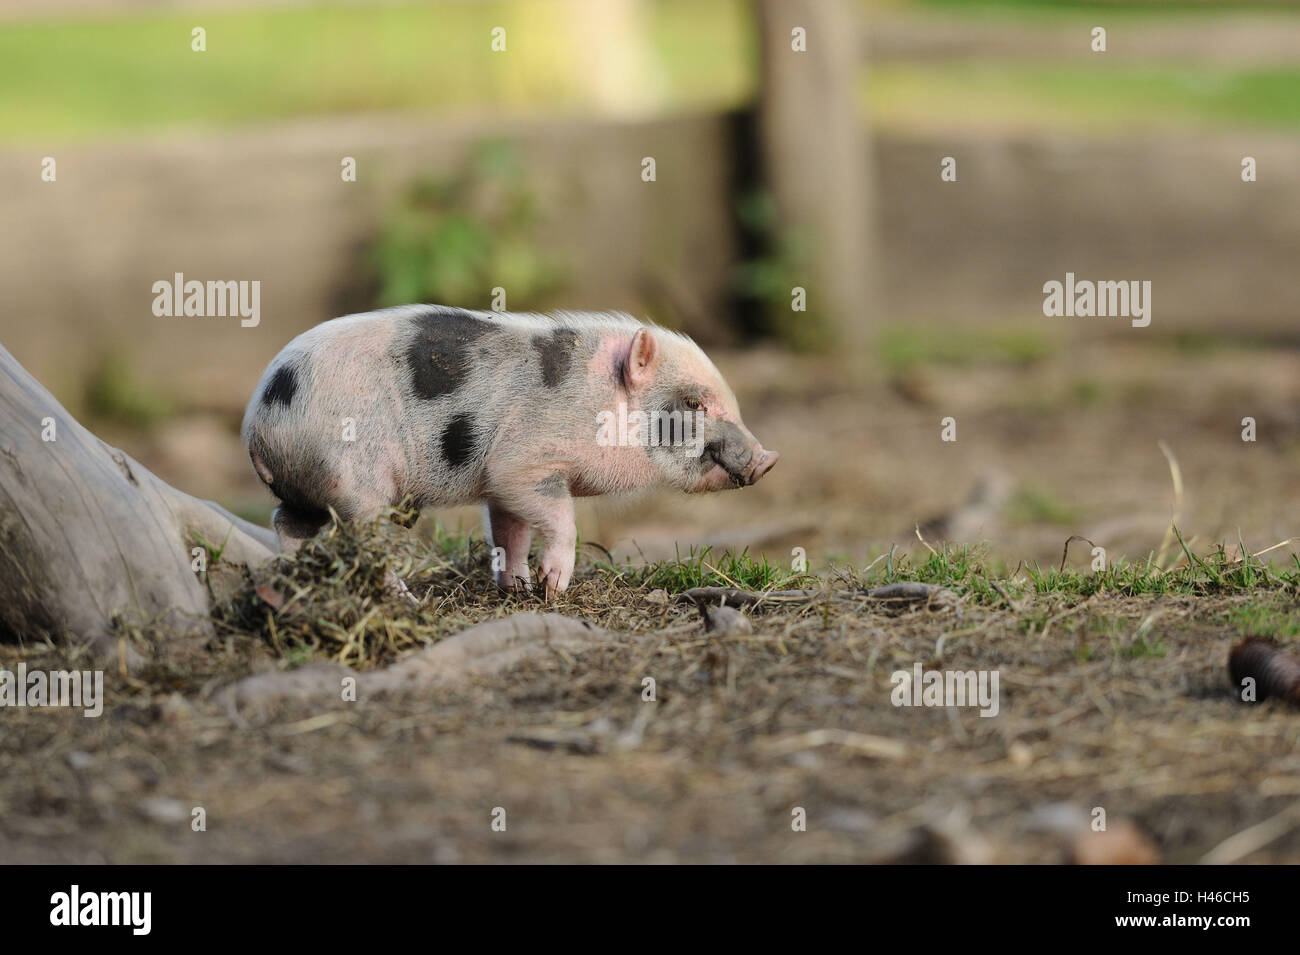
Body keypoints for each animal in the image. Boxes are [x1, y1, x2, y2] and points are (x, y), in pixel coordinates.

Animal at [241, 305, 778, 596]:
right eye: (693, 403)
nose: (768, 459)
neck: (597, 402)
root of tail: (258, 420)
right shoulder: (521, 465)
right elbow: (559, 518)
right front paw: (553, 586)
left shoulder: (499, 489)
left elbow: (511, 533)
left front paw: (518, 587)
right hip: (353, 478)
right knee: (363, 542)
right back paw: (407, 600)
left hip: (310, 484)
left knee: (285, 522)